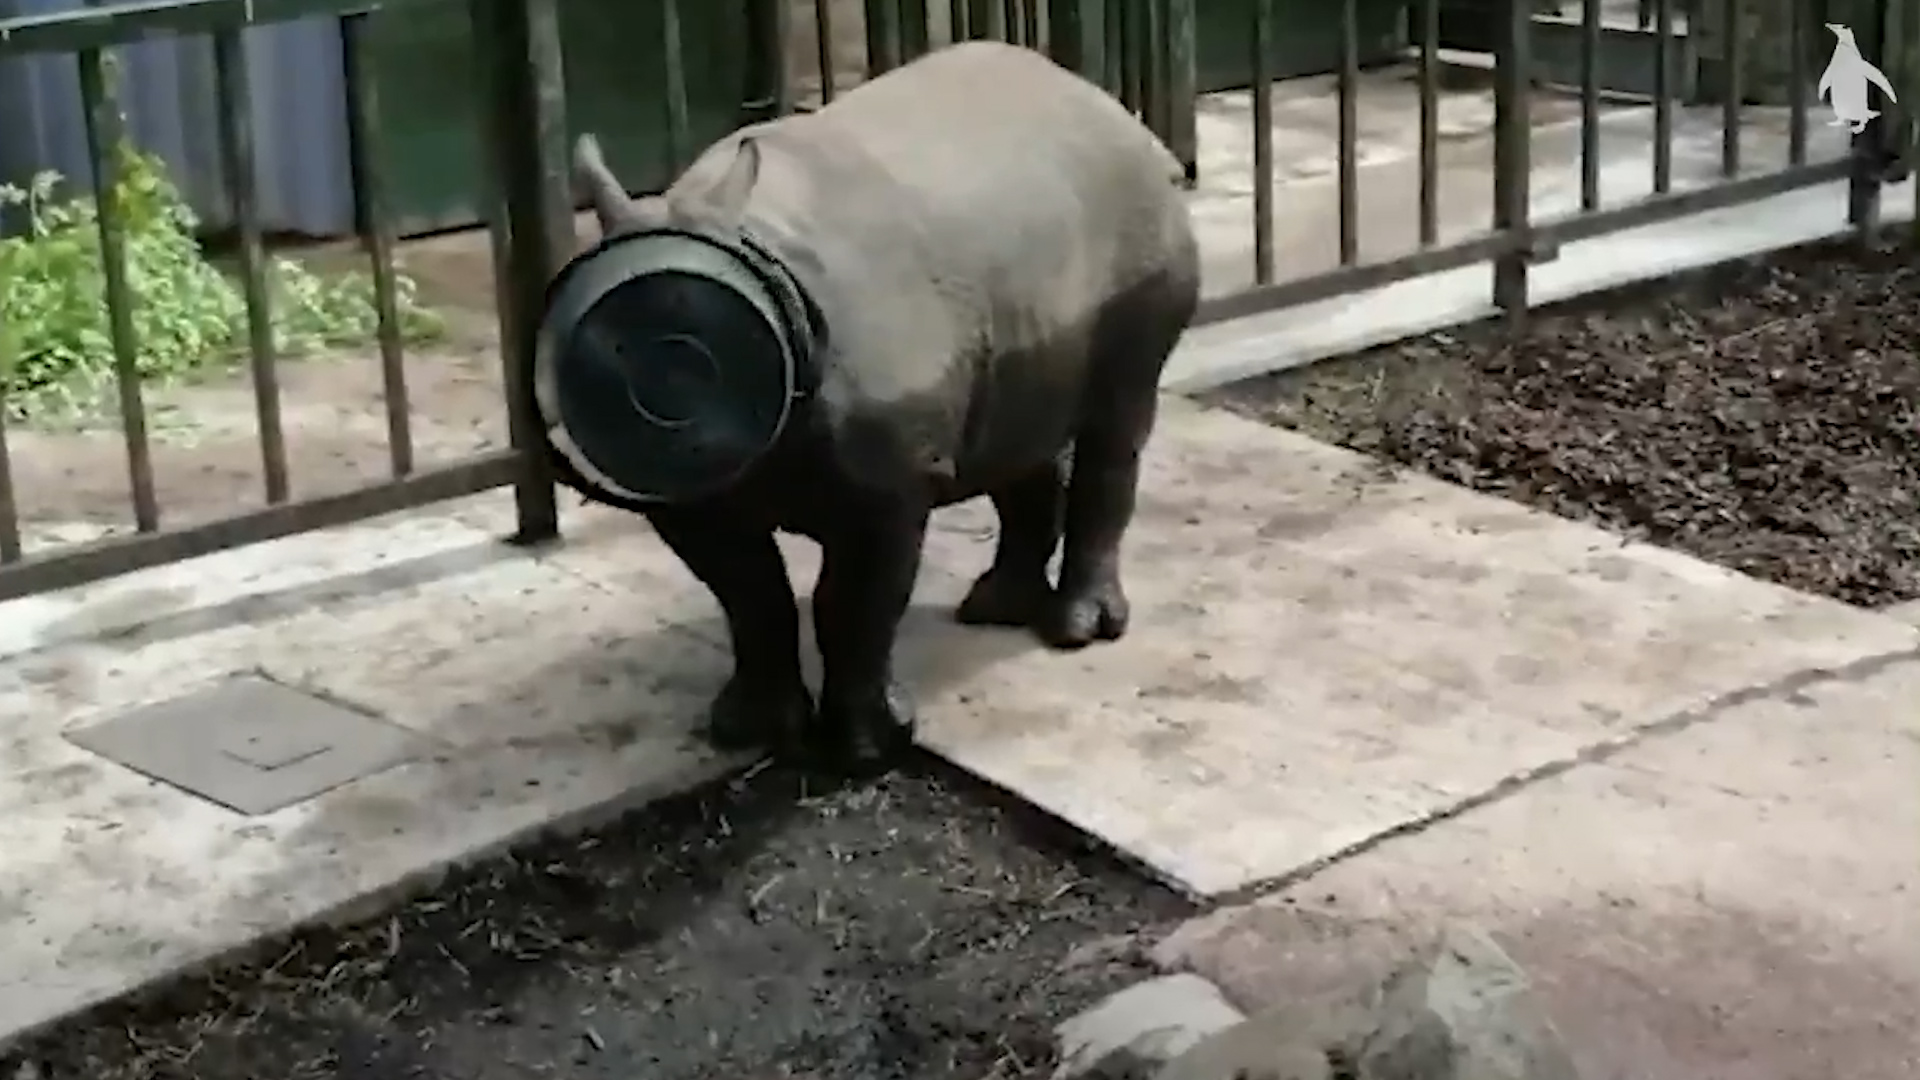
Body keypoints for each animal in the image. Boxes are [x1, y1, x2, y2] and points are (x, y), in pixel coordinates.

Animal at [535, 40, 1200, 770]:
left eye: (692, 362)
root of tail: (1114, 110)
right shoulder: (694, 500)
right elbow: (750, 594)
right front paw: (750, 730)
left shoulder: (892, 483)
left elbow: (852, 603)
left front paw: (865, 750)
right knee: (1021, 429)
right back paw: (994, 608)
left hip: (1140, 223)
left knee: (1118, 417)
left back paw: (1077, 630)